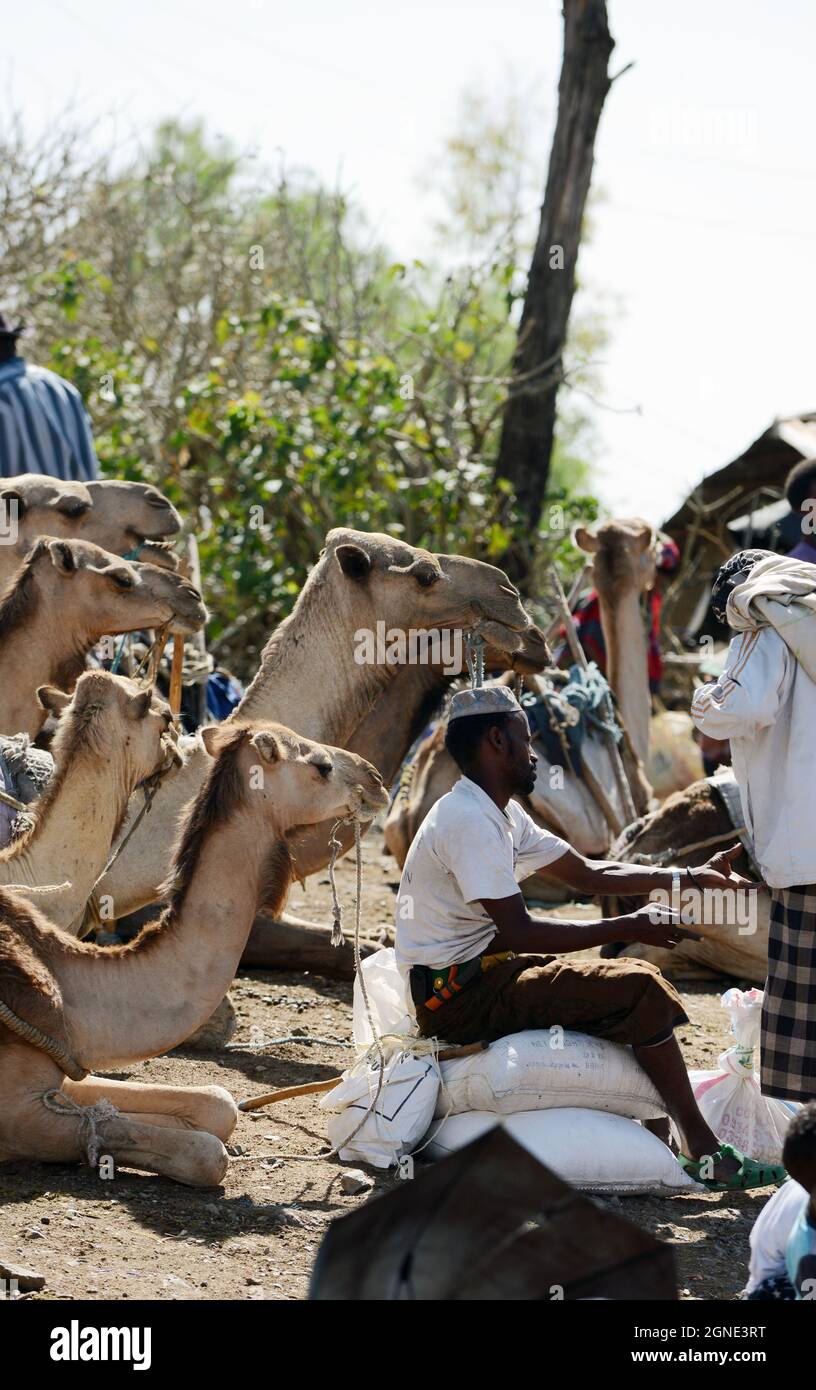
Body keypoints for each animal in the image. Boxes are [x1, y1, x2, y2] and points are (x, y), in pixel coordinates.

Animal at [0, 723, 388, 1186]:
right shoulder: (16, 1112)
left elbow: (217, 1104)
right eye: (322, 766)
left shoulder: (68, 1067)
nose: (377, 780)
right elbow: (205, 1153)